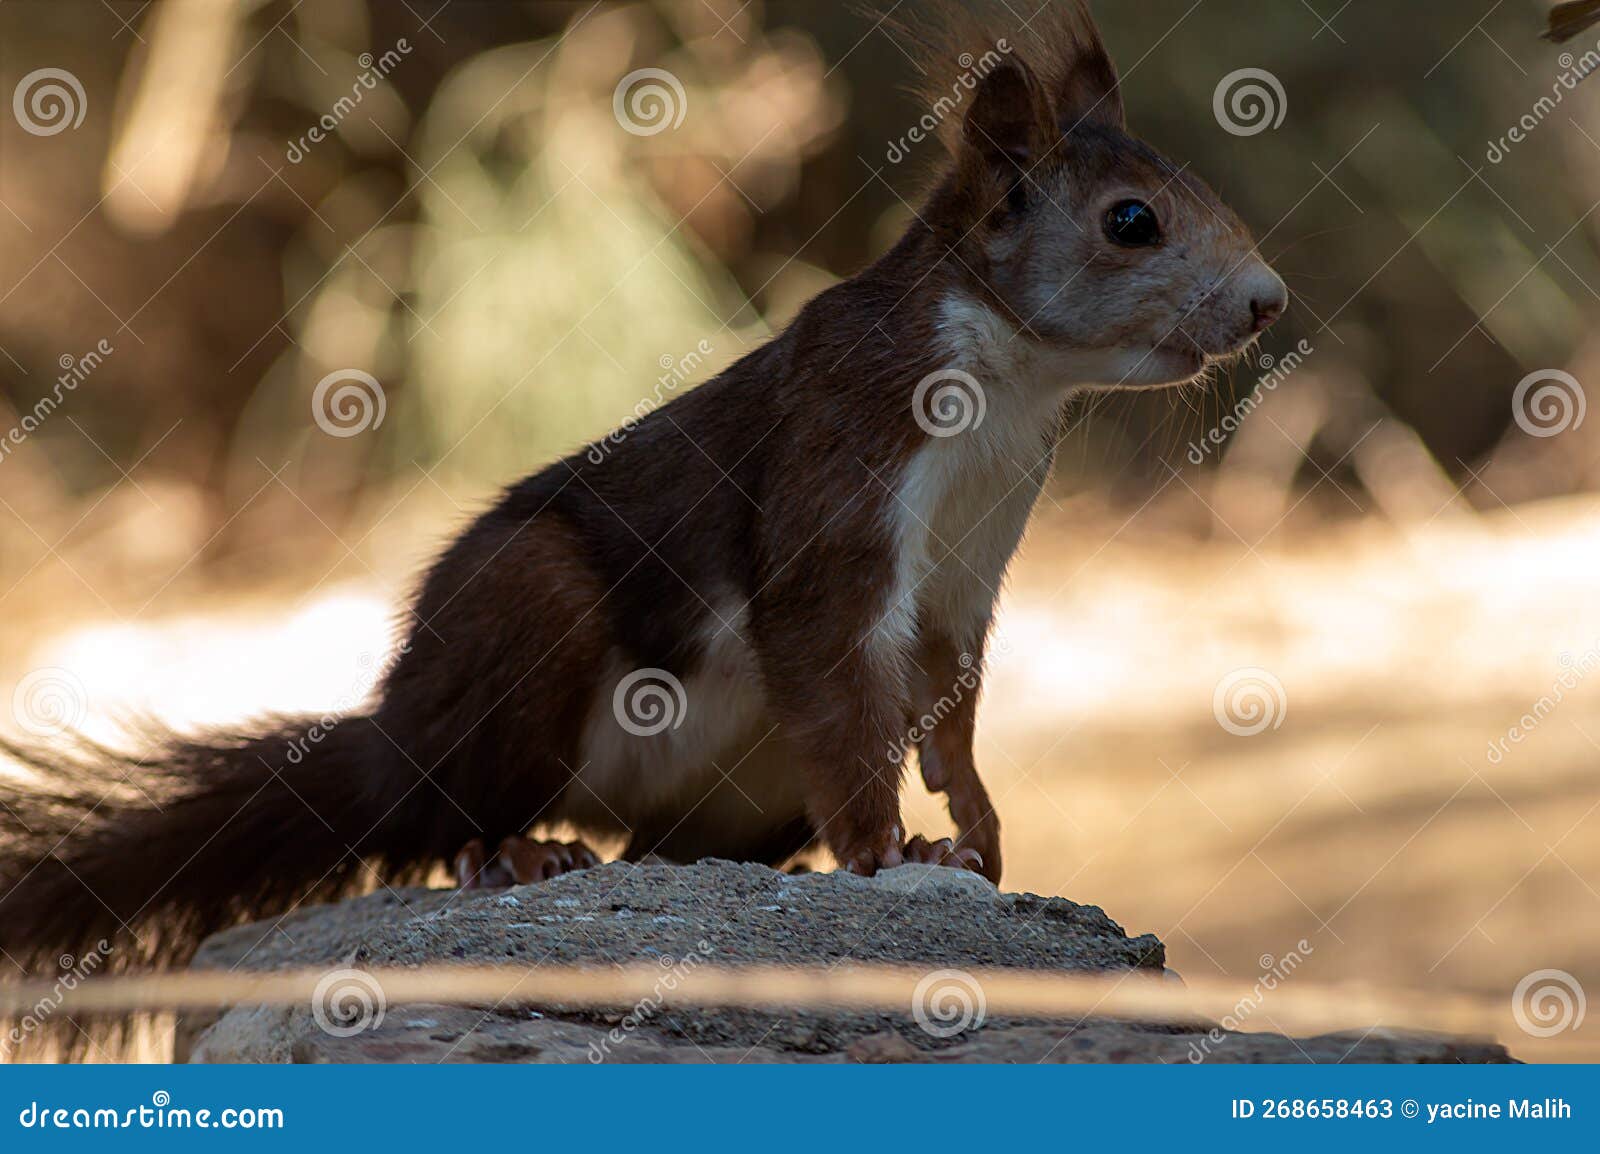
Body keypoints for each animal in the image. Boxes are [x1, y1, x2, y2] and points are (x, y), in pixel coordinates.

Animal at [0, 1, 1284, 971]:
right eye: (1132, 221)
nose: (1267, 301)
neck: (1011, 392)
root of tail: (393, 742)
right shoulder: (841, 465)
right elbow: (833, 665)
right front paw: (887, 849)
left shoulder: (974, 555)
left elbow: (948, 700)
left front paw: (973, 823)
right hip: (525, 617)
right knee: (457, 811)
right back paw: (513, 851)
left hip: (741, 779)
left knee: (654, 838)